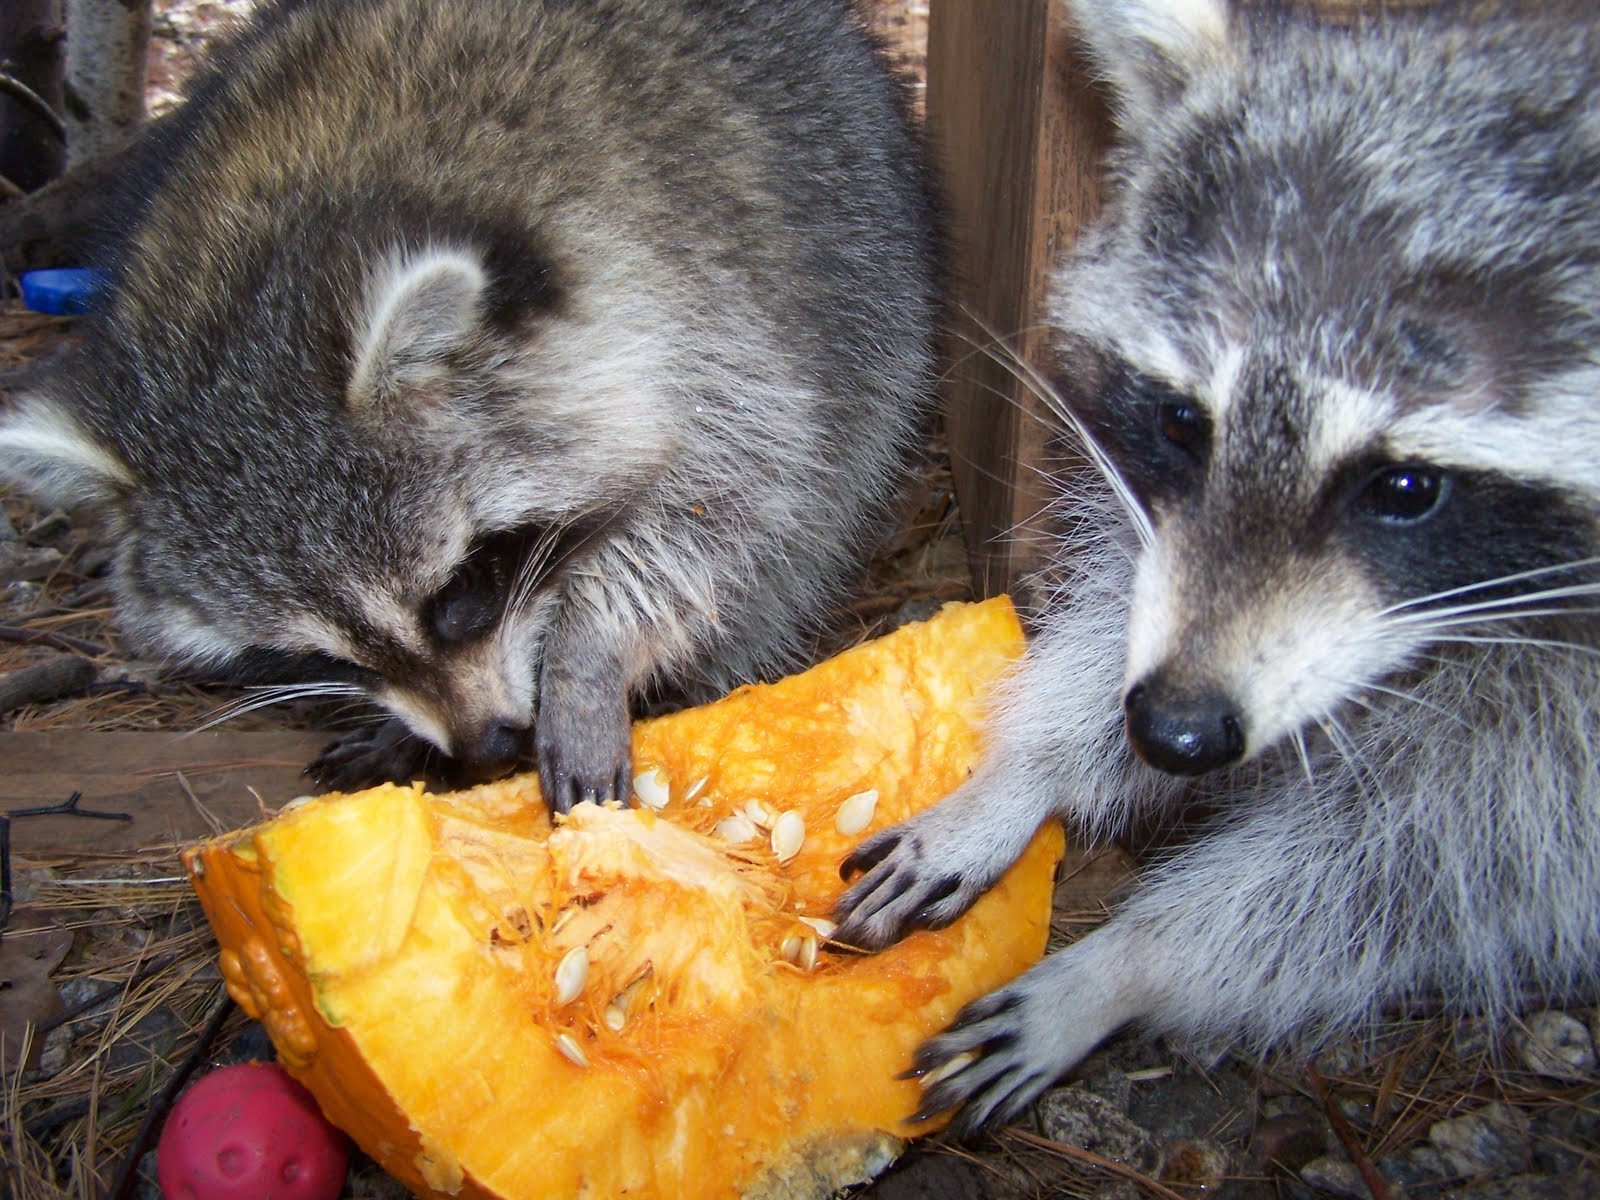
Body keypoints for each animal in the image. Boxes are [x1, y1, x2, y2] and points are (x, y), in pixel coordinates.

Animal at [0, 0, 939, 808]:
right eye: (314, 653)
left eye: (457, 592)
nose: (484, 744)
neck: (257, 260)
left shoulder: (704, 302)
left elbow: (730, 501)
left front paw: (591, 653)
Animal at [835, 0, 1600, 1133]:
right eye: (1183, 423)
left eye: (1407, 488)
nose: (1173, 732)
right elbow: (1128, 595)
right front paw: (1025, 778)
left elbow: (1436, 862)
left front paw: (1126, 966)